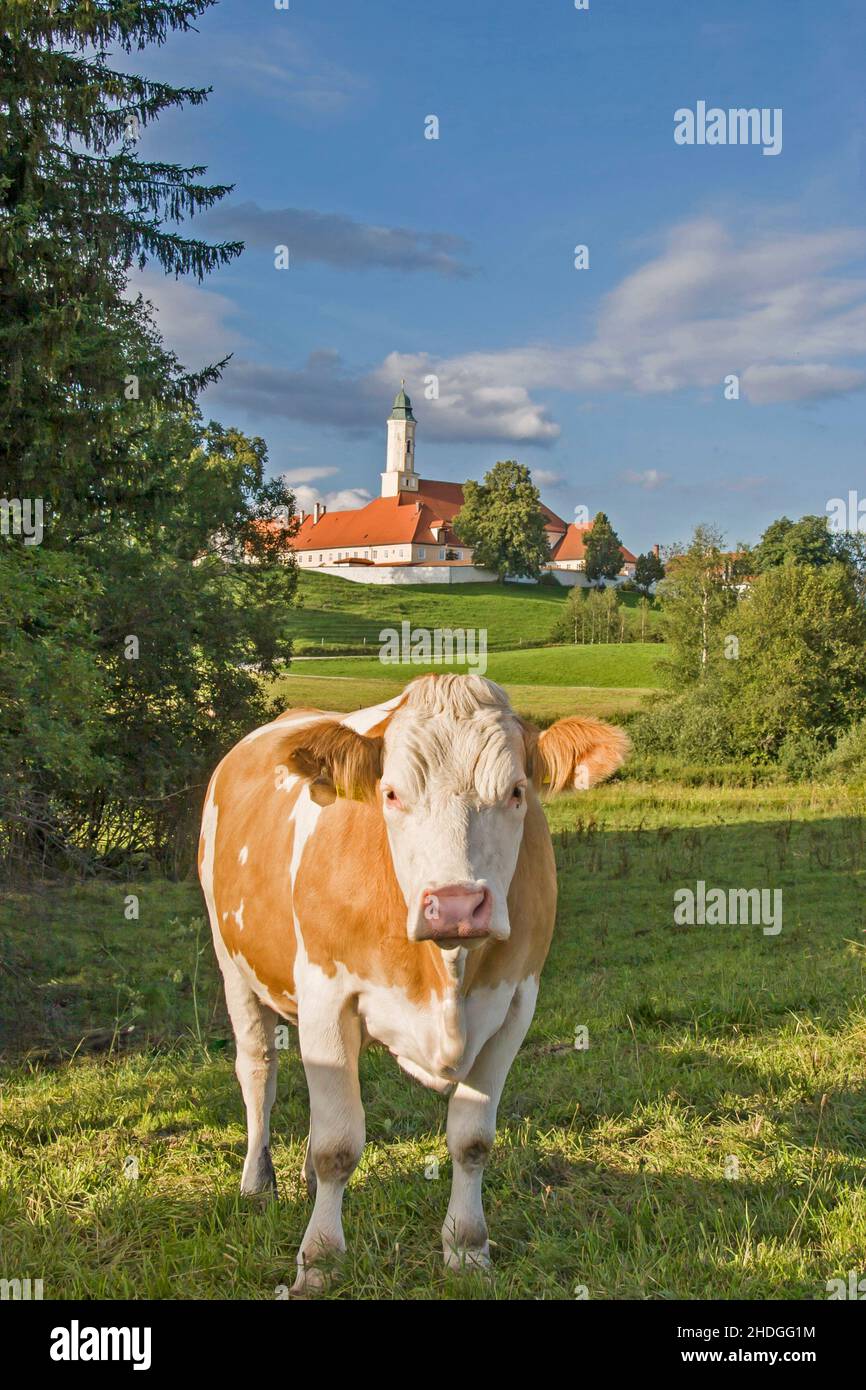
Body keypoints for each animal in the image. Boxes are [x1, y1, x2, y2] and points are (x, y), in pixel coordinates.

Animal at [198, 674, 628, 1293]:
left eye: (516, 792)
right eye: (392, 793)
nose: (455, 905)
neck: (445, 970)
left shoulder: (515, 1005)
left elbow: (471, 1141)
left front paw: (467, 1248)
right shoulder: (327, 995)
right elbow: (337, 1145)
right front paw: (319, 1260)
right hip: (232, 963)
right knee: (258, 1070)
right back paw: (257, 1183)